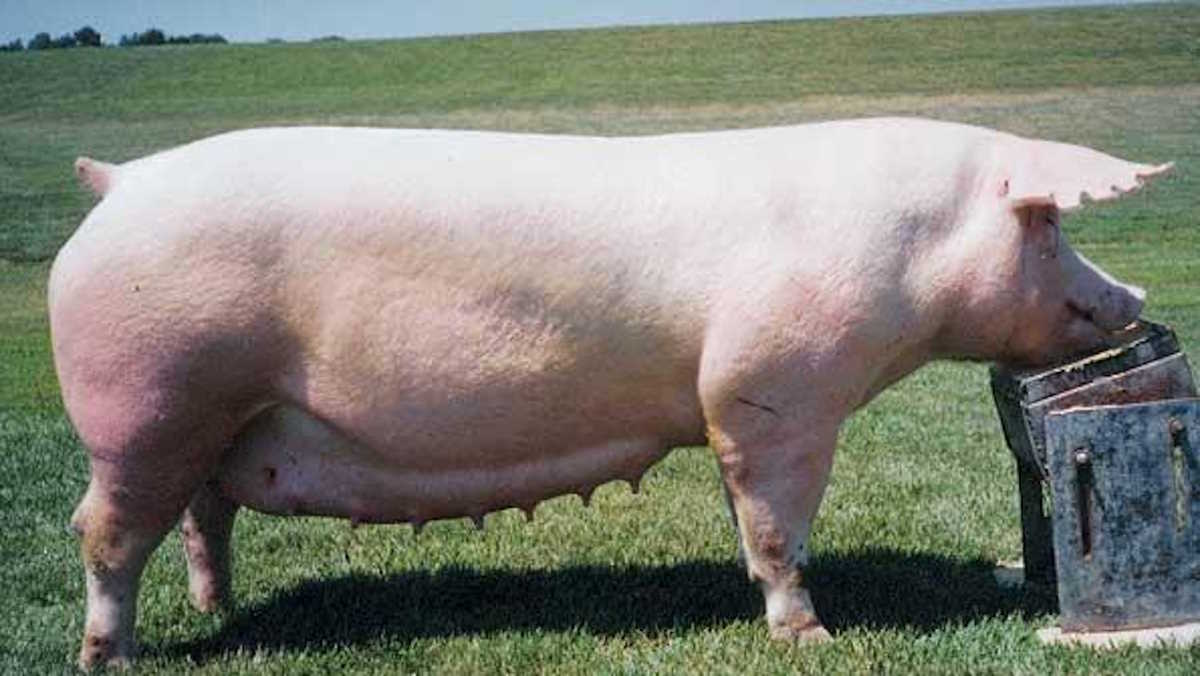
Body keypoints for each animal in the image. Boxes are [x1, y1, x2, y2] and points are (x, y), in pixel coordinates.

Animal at [50, 118, 1169, 668]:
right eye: (1048, 225)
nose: (1138, 296)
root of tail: (122, 184)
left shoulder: (739, 401)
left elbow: (743, 514)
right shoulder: (773, 386)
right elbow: (777, 521)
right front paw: (812, 636)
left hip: (208, 422)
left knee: (203, 517)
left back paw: (222, 608)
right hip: (147, 403)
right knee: (103, 532)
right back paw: (112, 656)